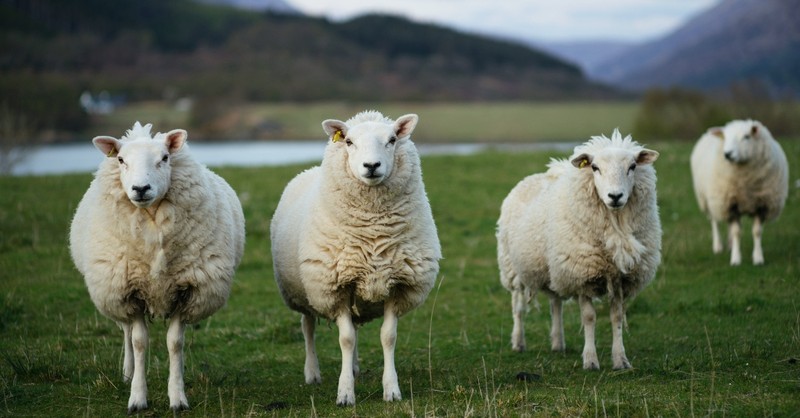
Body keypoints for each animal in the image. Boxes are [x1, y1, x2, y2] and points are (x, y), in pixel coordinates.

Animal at [69, 122, 245, 413]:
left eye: (164, 158)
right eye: (121, 160)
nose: (141, 188)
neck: (152, 224)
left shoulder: (187, 291)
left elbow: (175, 343)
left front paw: (177, 397)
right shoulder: (131, 292)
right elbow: (139, 342)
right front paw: (137, 397)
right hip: (116, 292)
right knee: (127, 332)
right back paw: (128, 373)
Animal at [270, 110, 441, 405]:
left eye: (392, 139)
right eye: (349, 142)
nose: (371, 165)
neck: (373, 231)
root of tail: (307, 171)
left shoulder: (397, 284)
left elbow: (388, 337)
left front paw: (391, 389)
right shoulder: (335, 286)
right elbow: (346, 339)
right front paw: (345, 393)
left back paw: (355, 367)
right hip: (305, 291)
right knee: (307, 327)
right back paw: (312, 373)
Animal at [497, 129, 661, 370]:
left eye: (632, 167)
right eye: (594, 167)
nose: (615, 196)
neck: (616, 228)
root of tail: (536, 176)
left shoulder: (619, 278)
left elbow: (616, 317)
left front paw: (620, 360)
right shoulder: (582, 274)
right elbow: (589, 317)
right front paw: (590, 360)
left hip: (554, 268)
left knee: (555, 303)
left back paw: (558, 343)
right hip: (513, 268)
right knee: (518, 307)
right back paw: (518, 342)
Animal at [690, 119, 789, 266]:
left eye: (746, 137)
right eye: (725, 137)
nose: (727, 154)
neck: (745, 182)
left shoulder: (762, 204)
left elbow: (756, 232)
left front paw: (758, 258)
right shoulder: (730, 204)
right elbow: (737, 232)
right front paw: (736, 259)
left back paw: (730, 245)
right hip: (711, 200)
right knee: (715, 222)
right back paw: (718, 246)